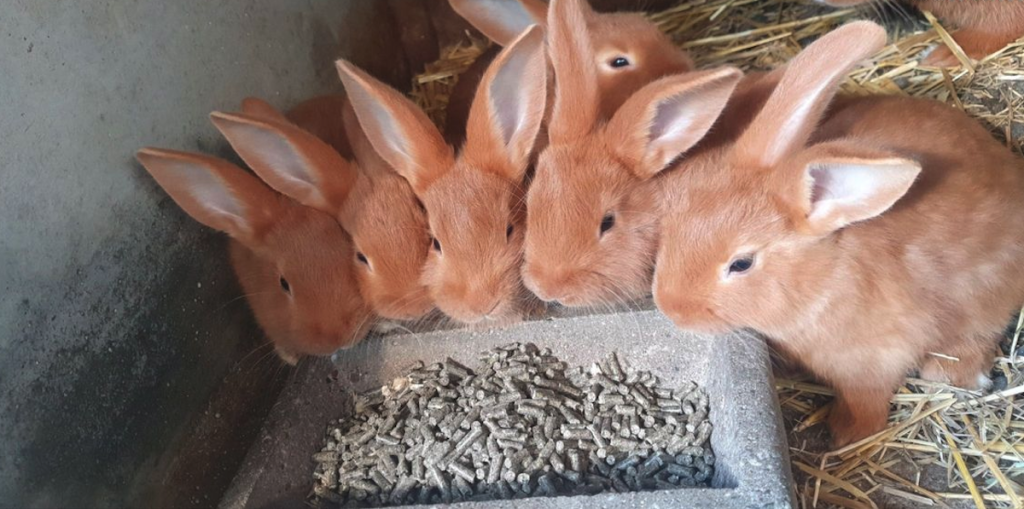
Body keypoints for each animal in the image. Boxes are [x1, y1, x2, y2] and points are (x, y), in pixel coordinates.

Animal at [649, 19, 1024, 447]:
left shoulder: (874, 358)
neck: (824, 276)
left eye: (741, 264)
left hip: (989, 290)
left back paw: (954, 371)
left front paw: (846, 433)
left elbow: (866, 398)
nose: (671, 309)